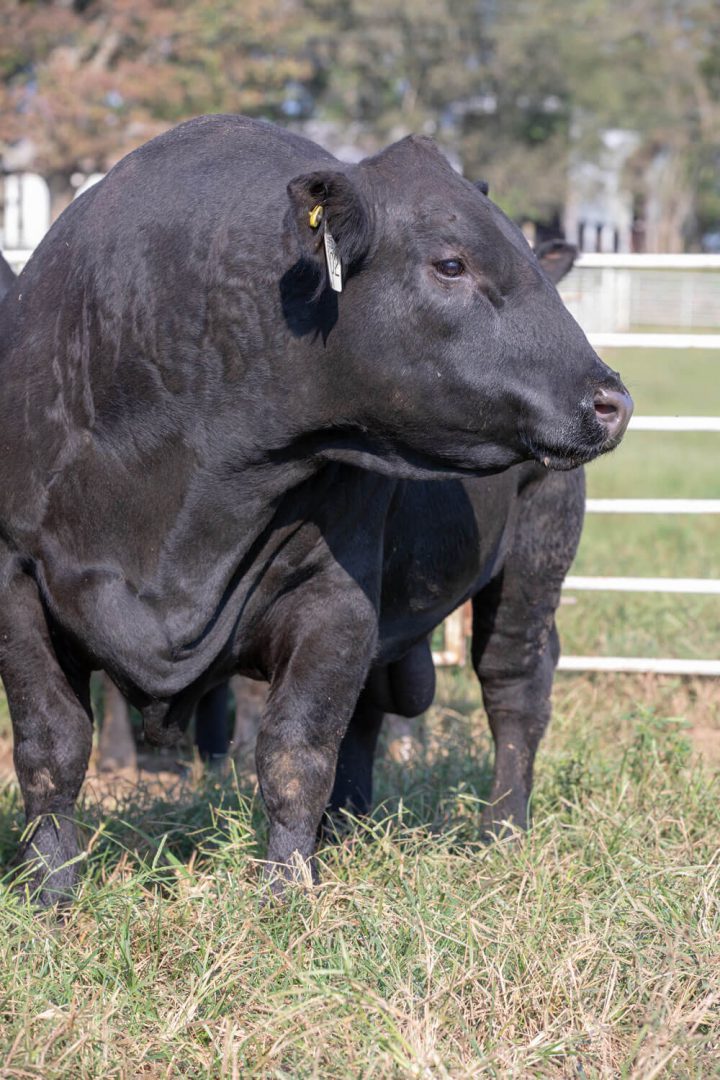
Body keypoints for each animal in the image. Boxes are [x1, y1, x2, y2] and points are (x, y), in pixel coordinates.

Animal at [0, 115, 631, 904]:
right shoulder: (17, 578)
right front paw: (48, 890)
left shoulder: (336, 600)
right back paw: (352, 827)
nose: (611, 400)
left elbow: (294, 753)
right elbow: (48, 746)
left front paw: (285, 893)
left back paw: (502, 833)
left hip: (535, 555)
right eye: (451, 263)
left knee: (515, 685)